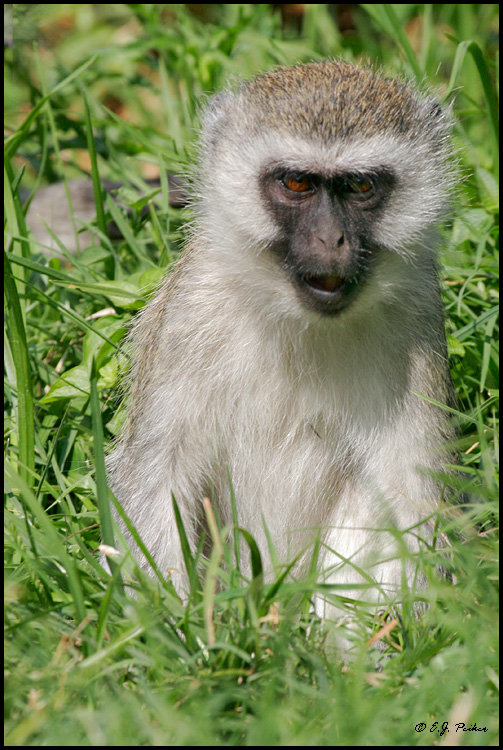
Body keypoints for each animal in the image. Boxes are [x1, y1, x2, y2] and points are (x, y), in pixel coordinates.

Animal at [106, 61, 455, 630]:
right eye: (297, 182)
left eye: (360, 184)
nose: (331, 239)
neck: (299, 323)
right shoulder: (191, 313)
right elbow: (159, 475)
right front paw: (176, 634)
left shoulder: (416, 320)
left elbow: (407, 494)